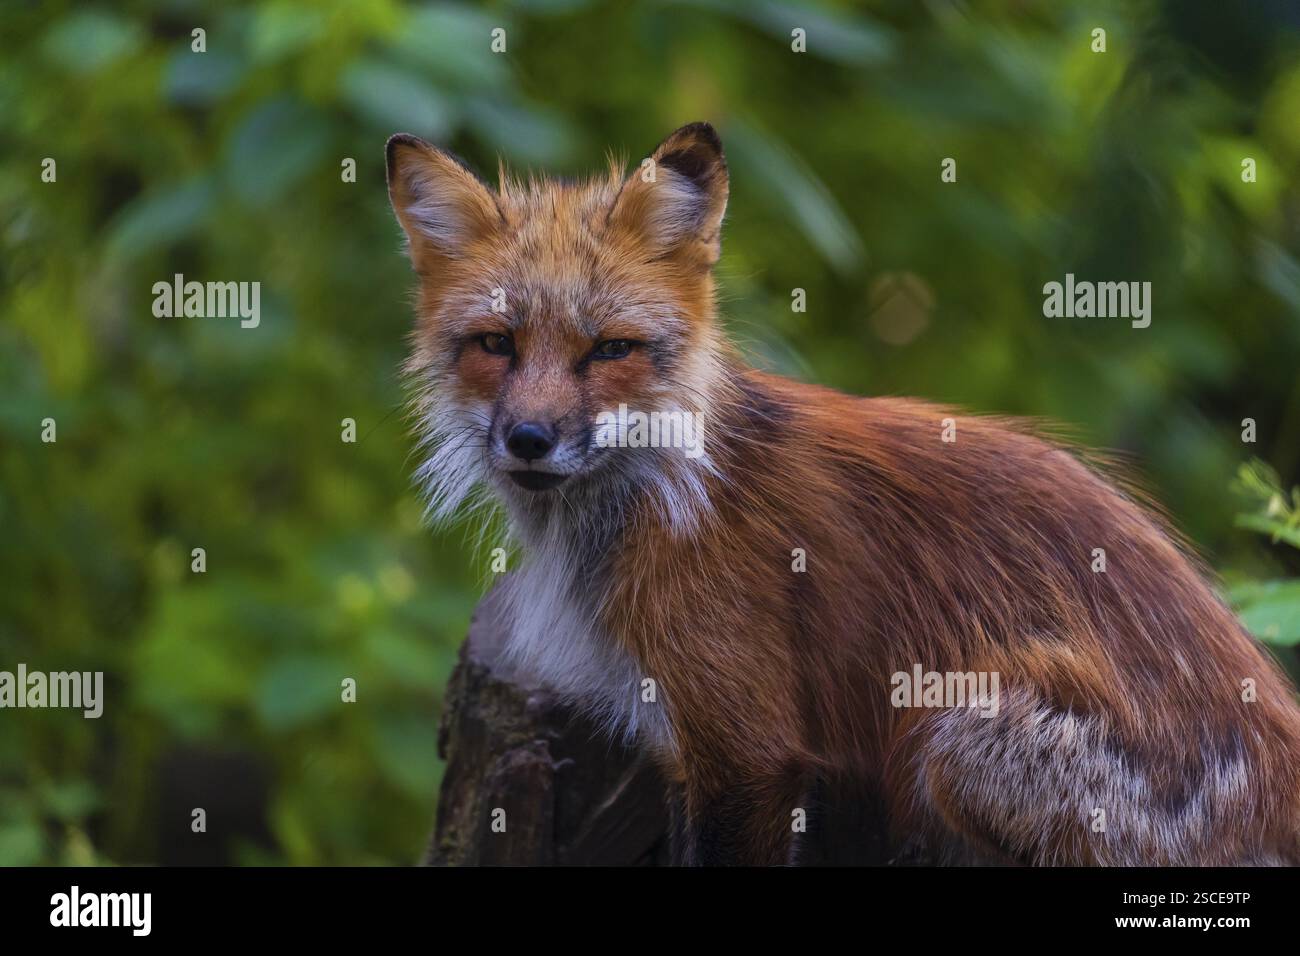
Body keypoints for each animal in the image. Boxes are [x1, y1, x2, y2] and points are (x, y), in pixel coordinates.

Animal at [386, 122, 1300, 866]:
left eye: (610, 349)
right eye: (496, 344)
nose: (528, 440)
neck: (667, 491)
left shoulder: (749, 749)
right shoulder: (681, 746)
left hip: (955, 739)